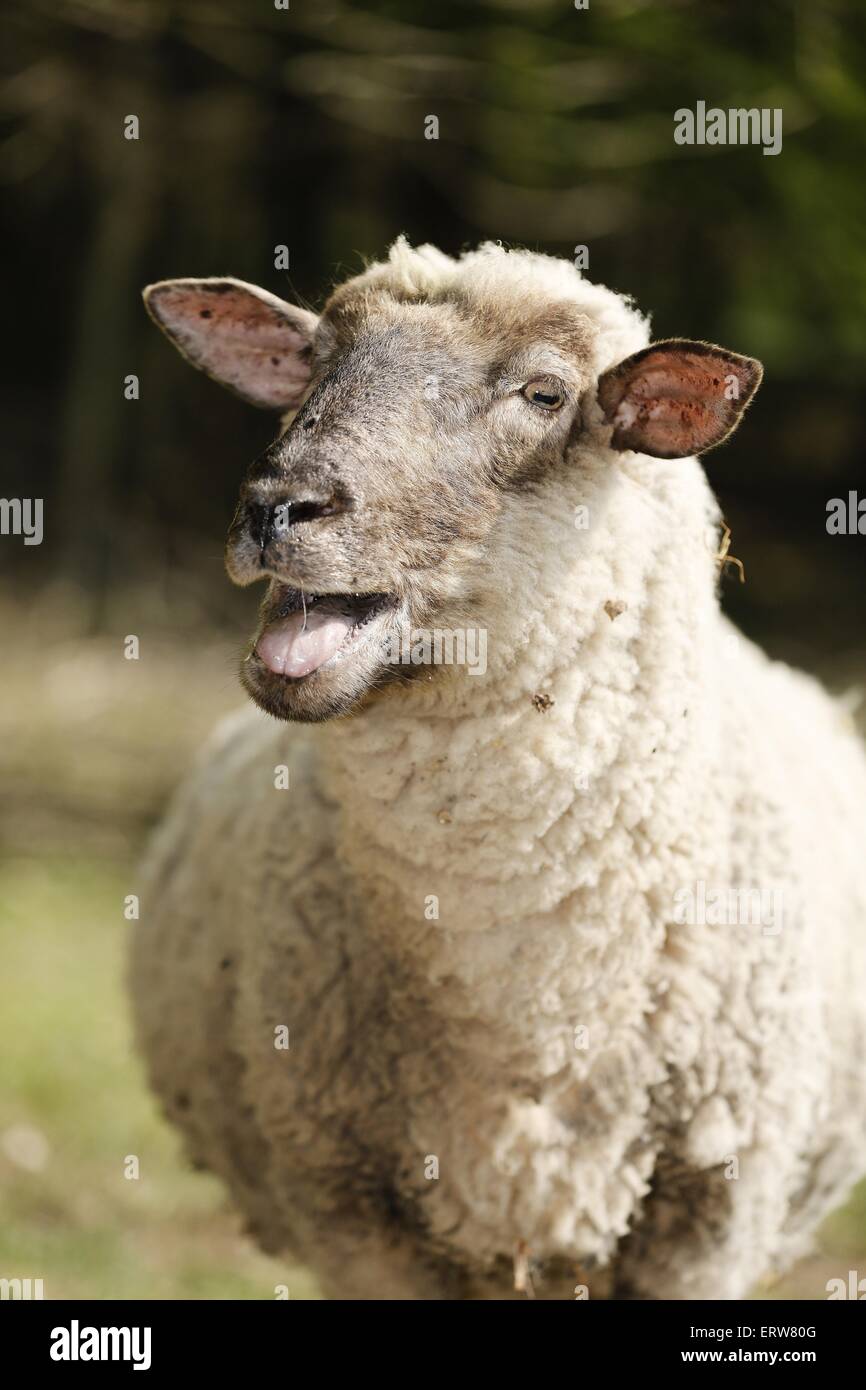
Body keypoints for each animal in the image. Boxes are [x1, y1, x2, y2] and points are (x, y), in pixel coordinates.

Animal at [132, 238, 866, 1300]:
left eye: (544, 393)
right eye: (313, 365)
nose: (275, 507)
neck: (524, 998)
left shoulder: (707, 1225)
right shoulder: (353, 1216)